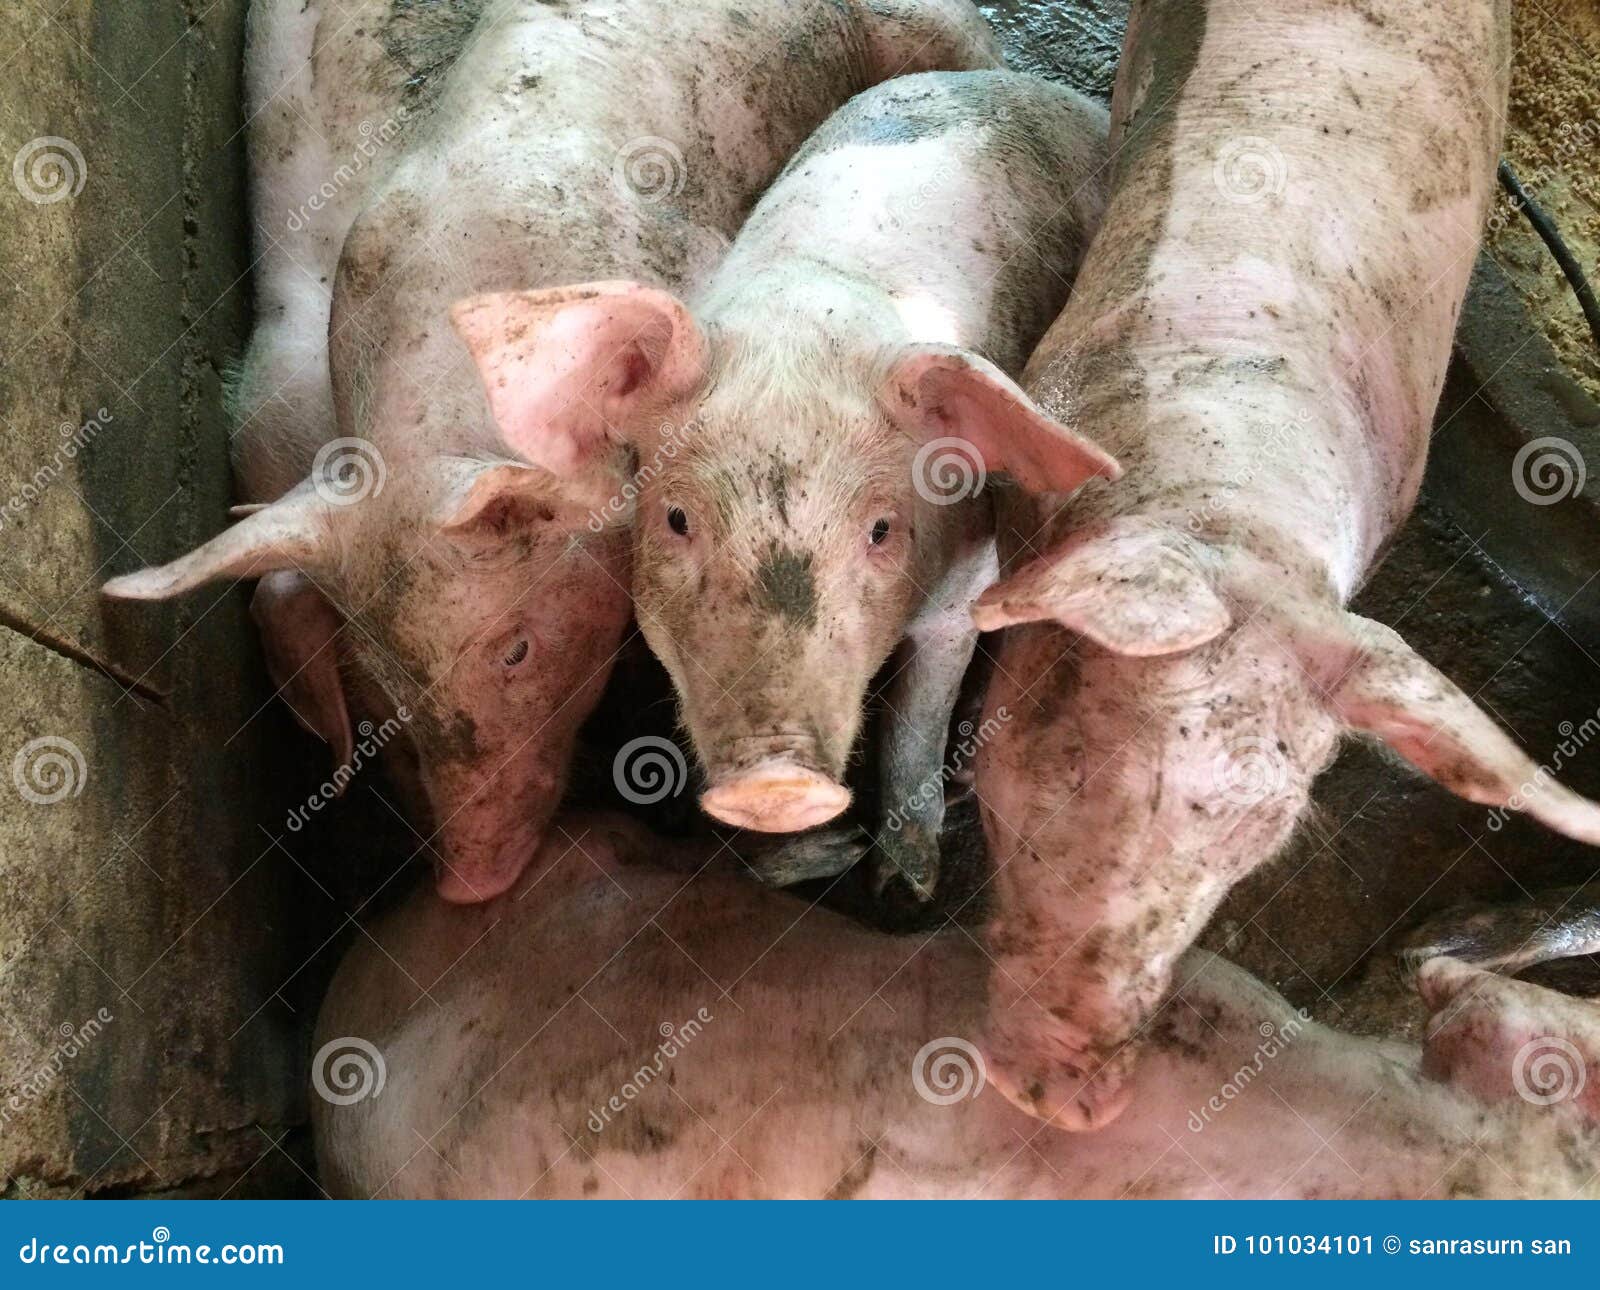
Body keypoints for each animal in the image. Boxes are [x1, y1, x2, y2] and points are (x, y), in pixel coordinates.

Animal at [451, 71, 1119, 896]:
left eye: (881, 529)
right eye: (677, 519)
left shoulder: (968, 575)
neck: (805, 318)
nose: (777, 783)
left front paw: (903, 885)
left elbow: (918, 720)